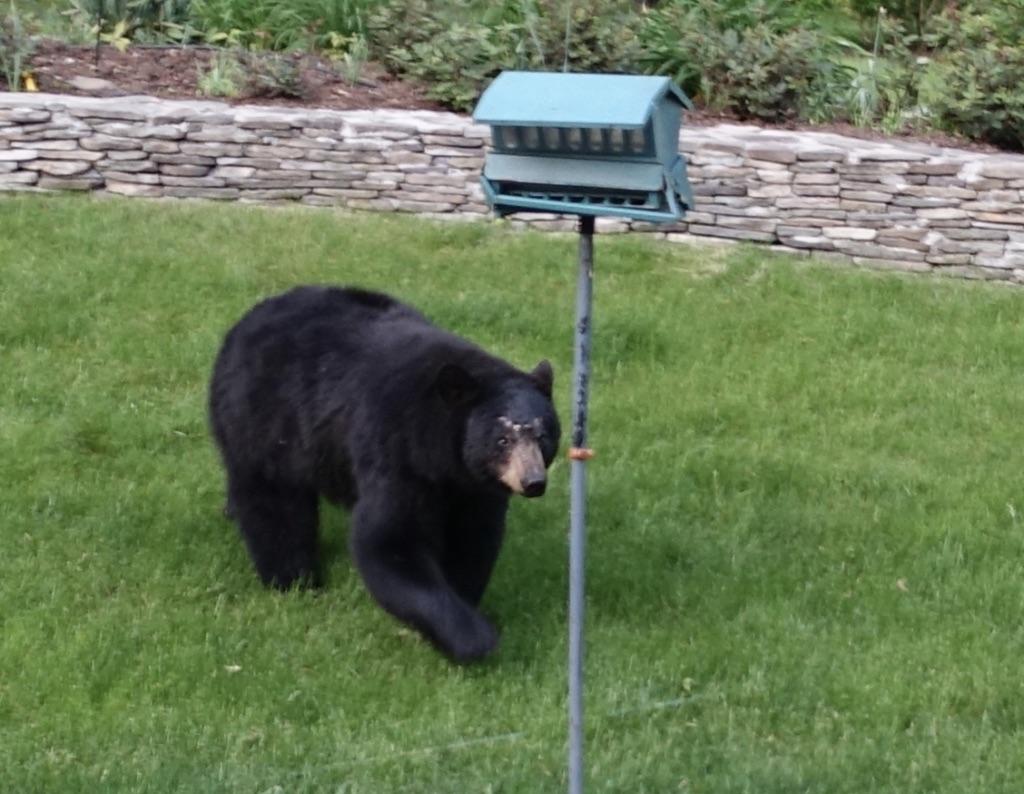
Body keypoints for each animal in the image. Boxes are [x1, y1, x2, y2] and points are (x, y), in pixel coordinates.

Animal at [208, 285, 560, 662]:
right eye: (503, 439)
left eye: (543, 435)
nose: (533, 482)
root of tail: (250, 317)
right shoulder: (396, 453)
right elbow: (389, 540)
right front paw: (473, 637)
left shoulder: (473, 489)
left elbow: (472, 539)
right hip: (266, 421)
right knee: (273, 501)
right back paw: (292, 578)